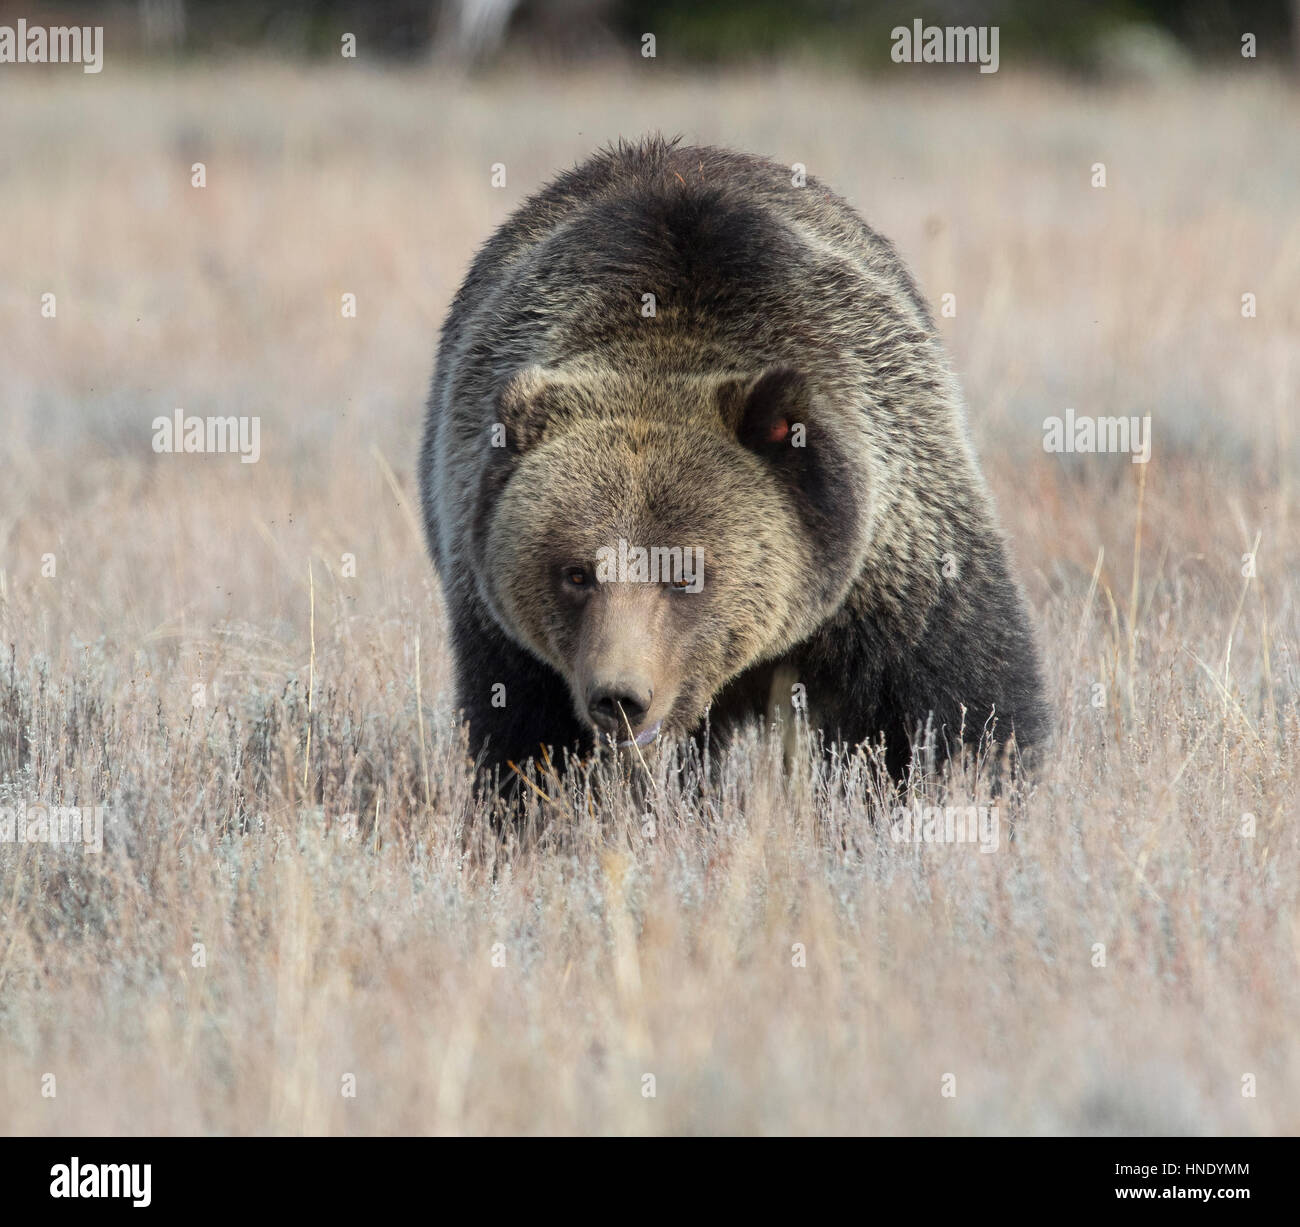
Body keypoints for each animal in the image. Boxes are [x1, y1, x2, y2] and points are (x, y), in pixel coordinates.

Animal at [419, 135, 1048, 787]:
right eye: (575, 573)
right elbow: (528, 744)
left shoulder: (890, 558)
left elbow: (950, 709)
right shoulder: (502, 628)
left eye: (686, 572)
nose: (620, 698)